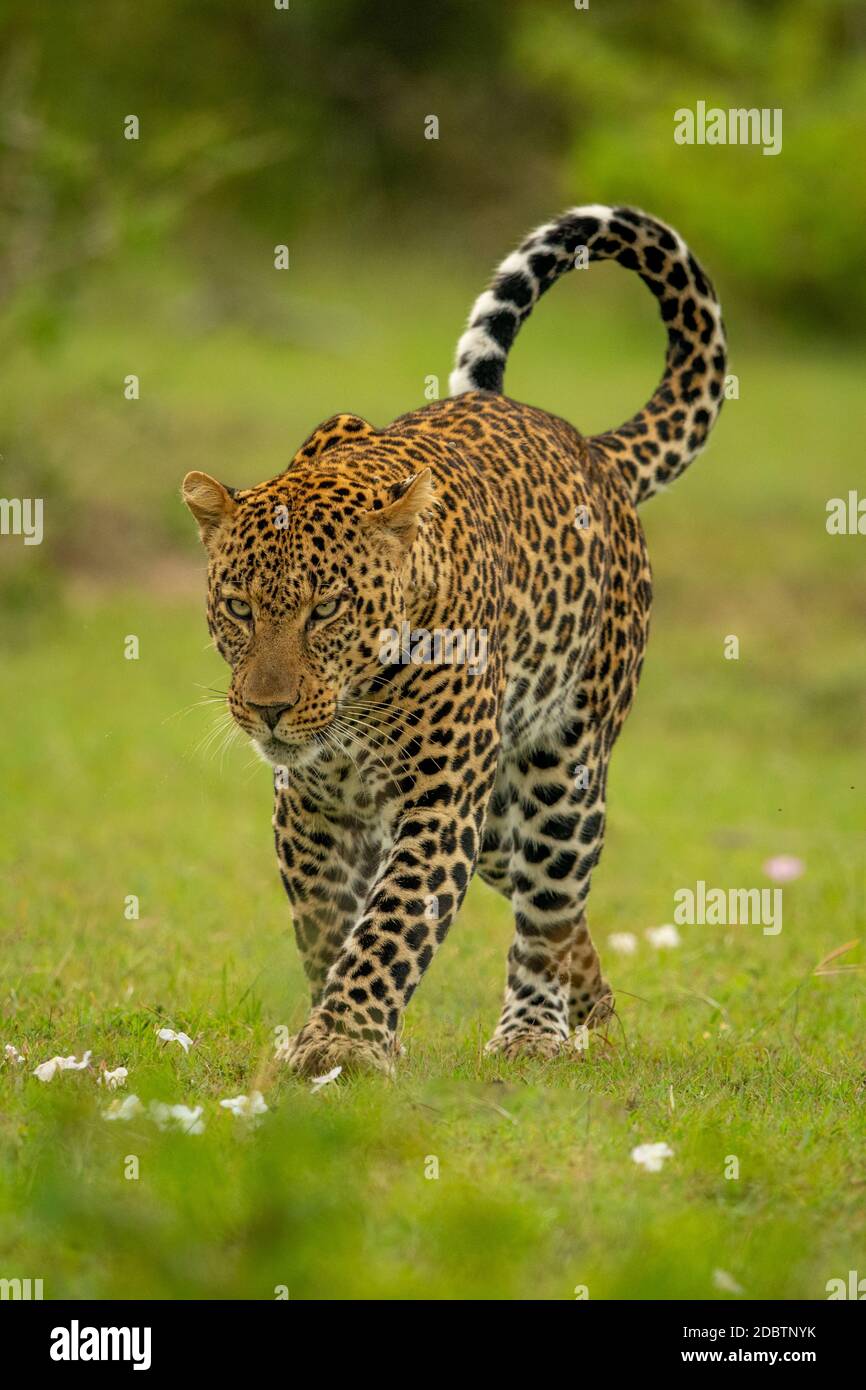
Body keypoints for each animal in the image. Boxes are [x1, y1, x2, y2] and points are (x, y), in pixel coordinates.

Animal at [182, 203, 726, 1077]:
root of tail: (589, 447)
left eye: (326, 610)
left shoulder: (438, 802)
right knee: (546, 895)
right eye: (237, 606)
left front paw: (343, 1042)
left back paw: (535, 1030)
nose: (267, 710)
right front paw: (345, 1034)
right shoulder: (310, 807)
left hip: (560, 769)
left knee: (549, 903)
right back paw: (594, 999)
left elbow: (392, 924)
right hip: (497, 807)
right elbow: (328, 928)